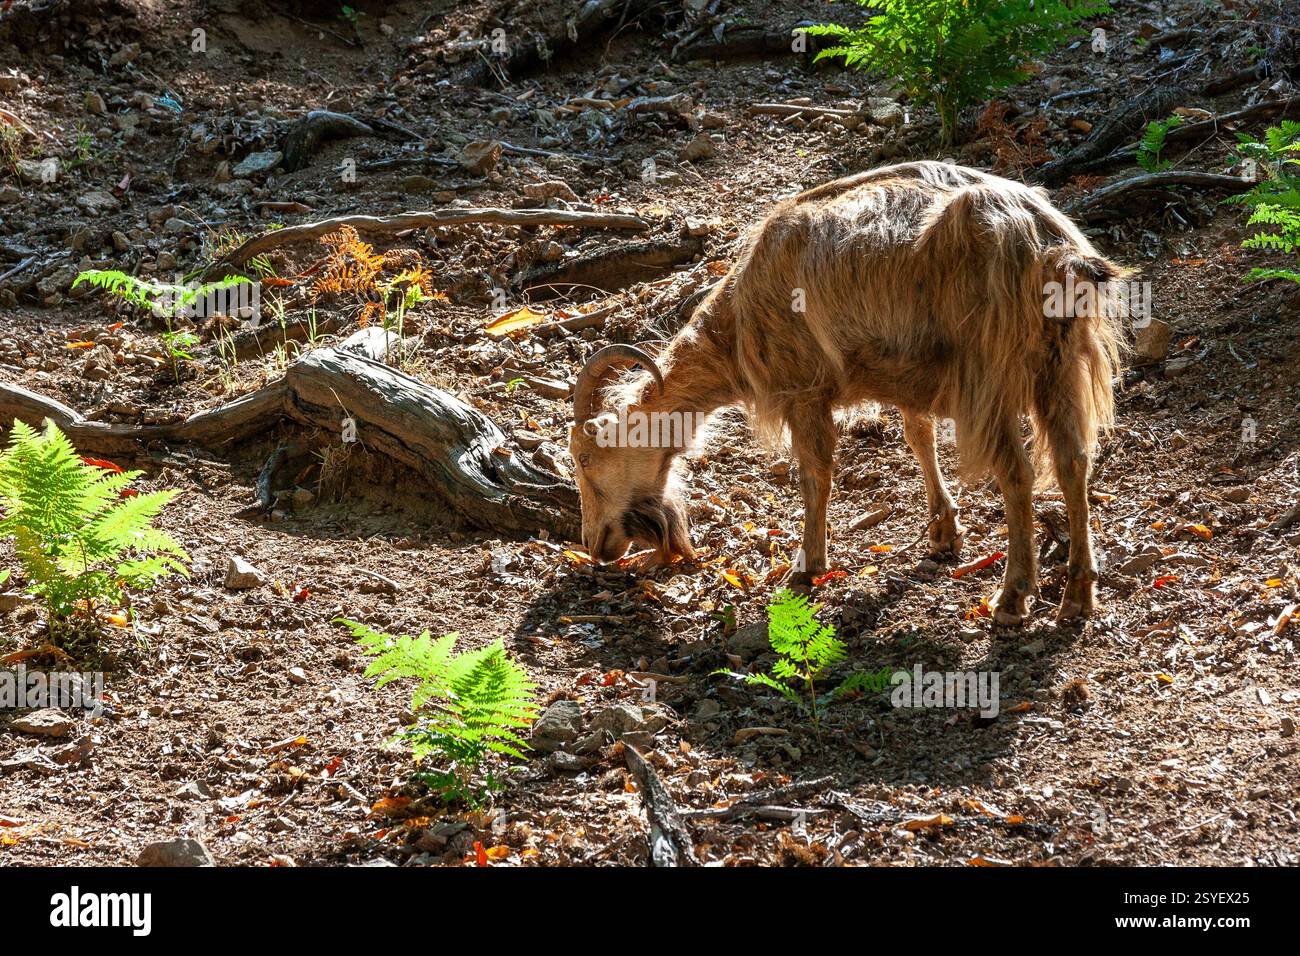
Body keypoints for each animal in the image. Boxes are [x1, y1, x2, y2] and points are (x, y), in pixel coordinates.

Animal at [569, 161, 1127, 625]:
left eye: (586, 458)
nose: (597, 545)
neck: (739, 317)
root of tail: (1052, 249)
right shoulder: (909, 376)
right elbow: (918, 436)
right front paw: (944, 534)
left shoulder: (805, 389)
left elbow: (815, 474)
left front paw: (806, 565)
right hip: (1060, 366)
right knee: (1074, 461)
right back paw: (1078, 595)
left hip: (991, 374)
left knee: (1017, 472)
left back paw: (1012, 597)